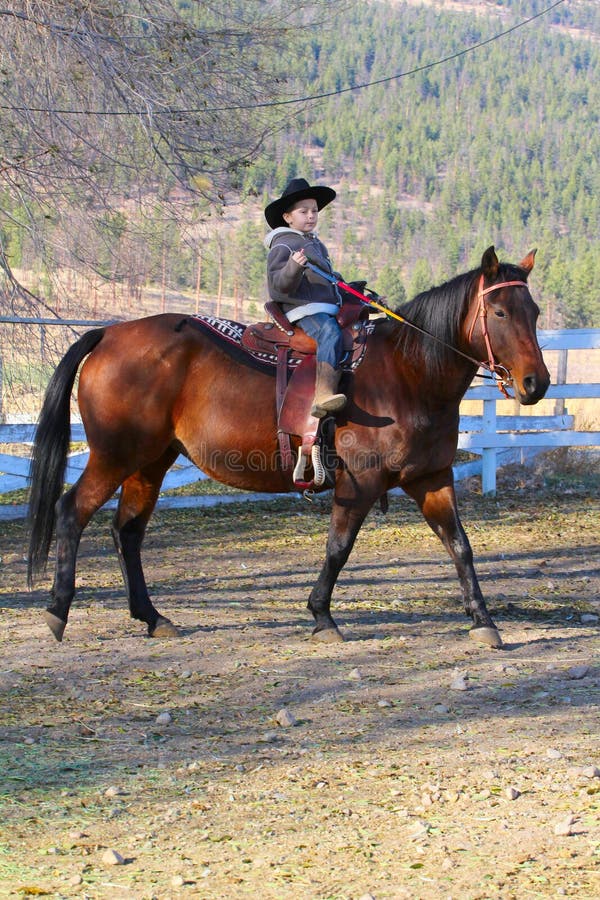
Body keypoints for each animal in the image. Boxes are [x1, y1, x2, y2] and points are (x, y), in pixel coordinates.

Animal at [27, 246, 550, 648]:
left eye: (535, 313)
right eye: (500, 313)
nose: (536, 384)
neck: (409, 373)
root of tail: (110, 333)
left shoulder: (432, 478)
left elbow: (460, 546)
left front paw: (484, 621)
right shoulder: (359, 485)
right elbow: (339, 548)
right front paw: (322, 616)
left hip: (151, 462)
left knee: (128, 532)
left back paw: (153, 618)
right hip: (115, 456)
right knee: (72, 511)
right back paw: (57, 611)